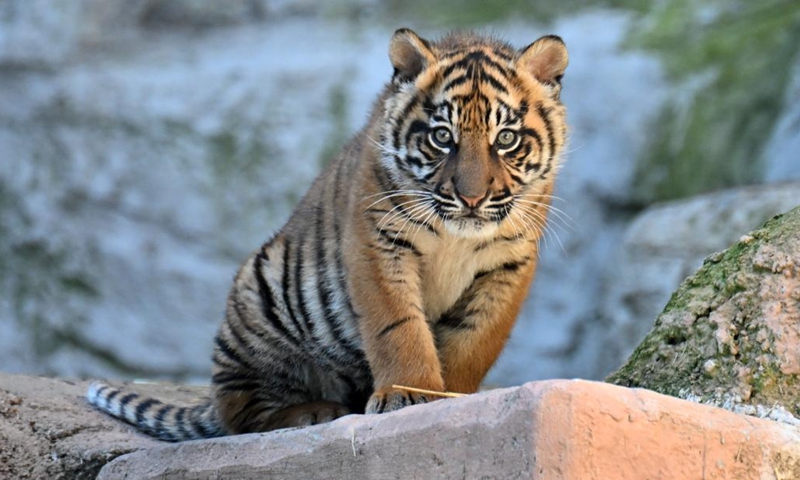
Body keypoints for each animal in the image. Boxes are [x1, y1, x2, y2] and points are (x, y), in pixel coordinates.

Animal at [86, 28, 569, 441]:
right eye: (441, 137)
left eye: (505, 139)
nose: (471, 198)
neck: (457, 235)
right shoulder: (377, 244)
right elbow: (398, 326)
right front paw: (411, 392)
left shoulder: (509, 264)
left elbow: (476, 339)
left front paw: (455, 397)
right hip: (260, 292)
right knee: (241, 414)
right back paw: (314, 412)